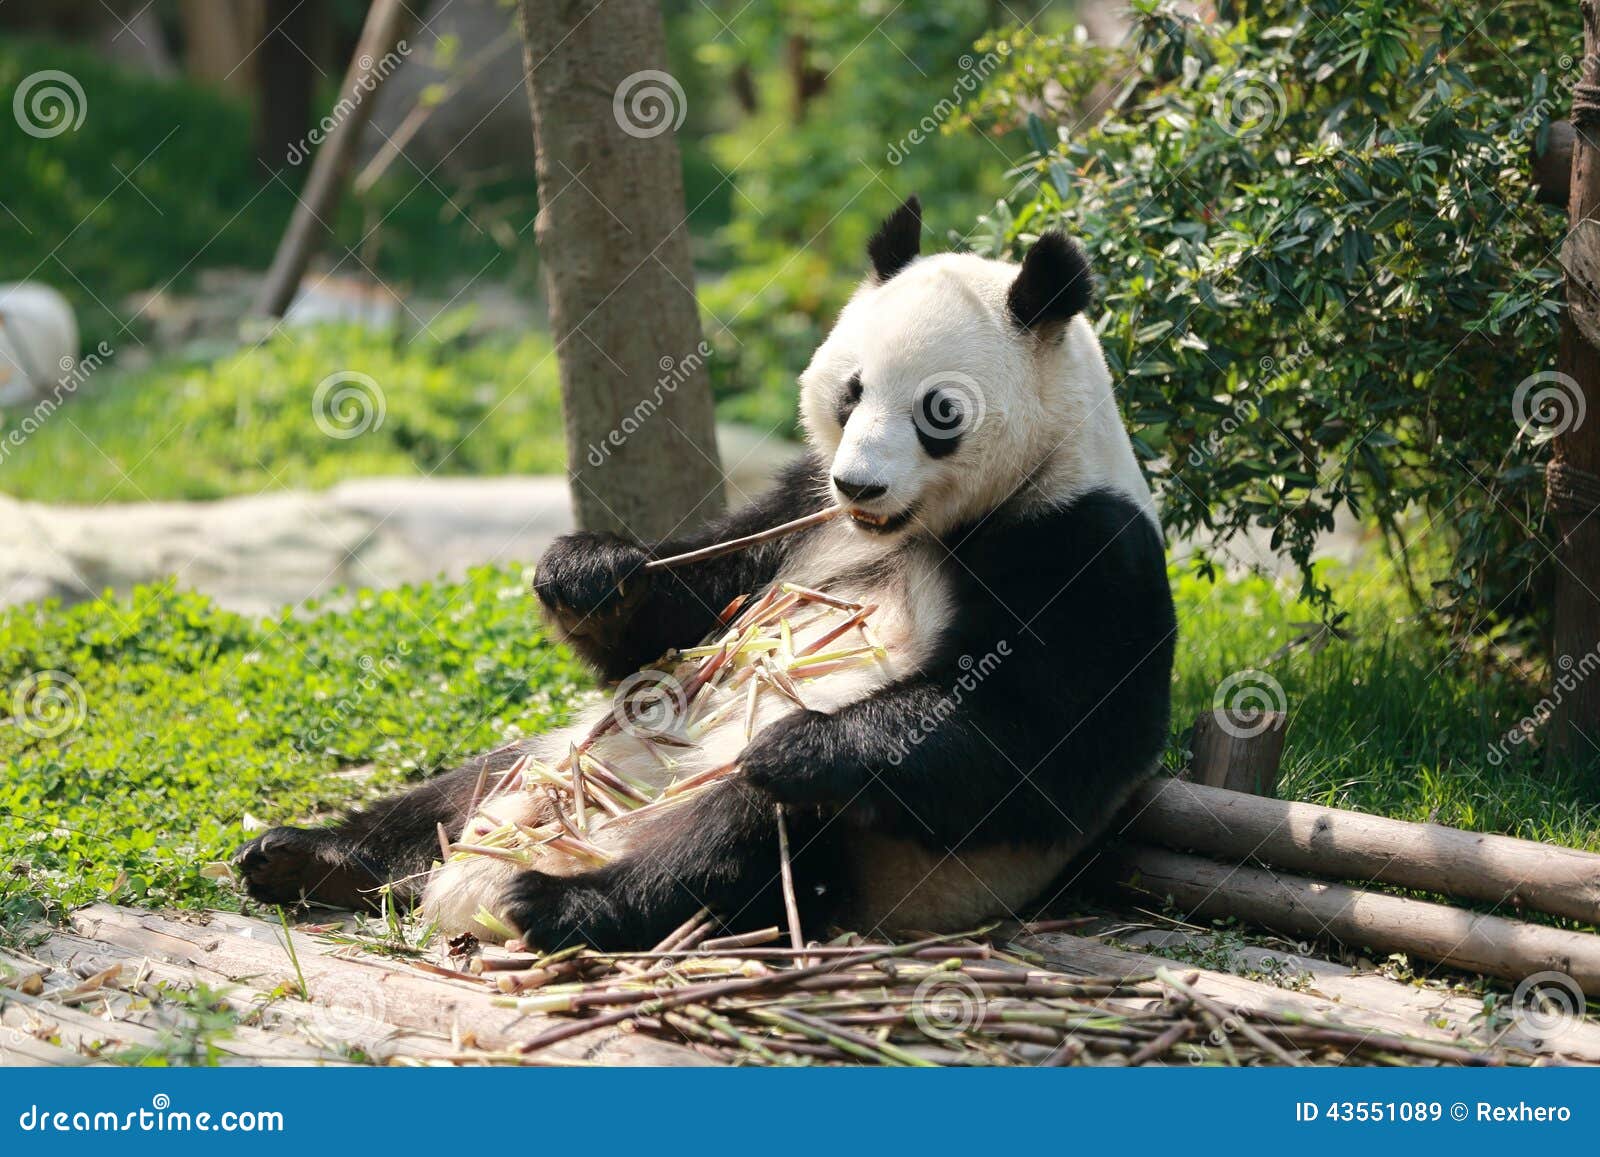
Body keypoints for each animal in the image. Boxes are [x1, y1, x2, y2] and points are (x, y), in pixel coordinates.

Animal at [235, 197, 1177, 949]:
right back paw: (306, 856)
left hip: (879, 854)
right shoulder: (802, 512)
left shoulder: (1084, 545)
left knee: (742, 840)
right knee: (458, 791)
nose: (861, 483)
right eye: (851, 391)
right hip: (554, 754)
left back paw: (557, 899)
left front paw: (808, 738)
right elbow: (686, 606)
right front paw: (588, 571)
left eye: (938, 412)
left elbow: (1045, 739)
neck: (924, 528)